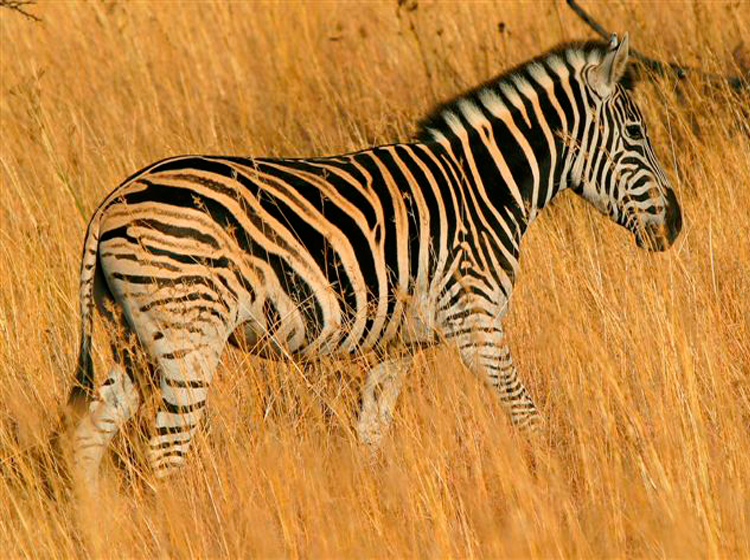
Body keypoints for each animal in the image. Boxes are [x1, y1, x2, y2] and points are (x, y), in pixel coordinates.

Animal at [64, 33, 682, 490]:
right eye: (636, 133)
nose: (674, 226)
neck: (485, 190)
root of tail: (111, 202)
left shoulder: (399, 344)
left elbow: (370, 435)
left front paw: (374, 507)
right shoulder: (475, 323)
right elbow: (529, 416)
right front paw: (563, 482)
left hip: (137, 340)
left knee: (90, 436)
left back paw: (98, 528)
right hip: (188, 338)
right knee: (164, 456)